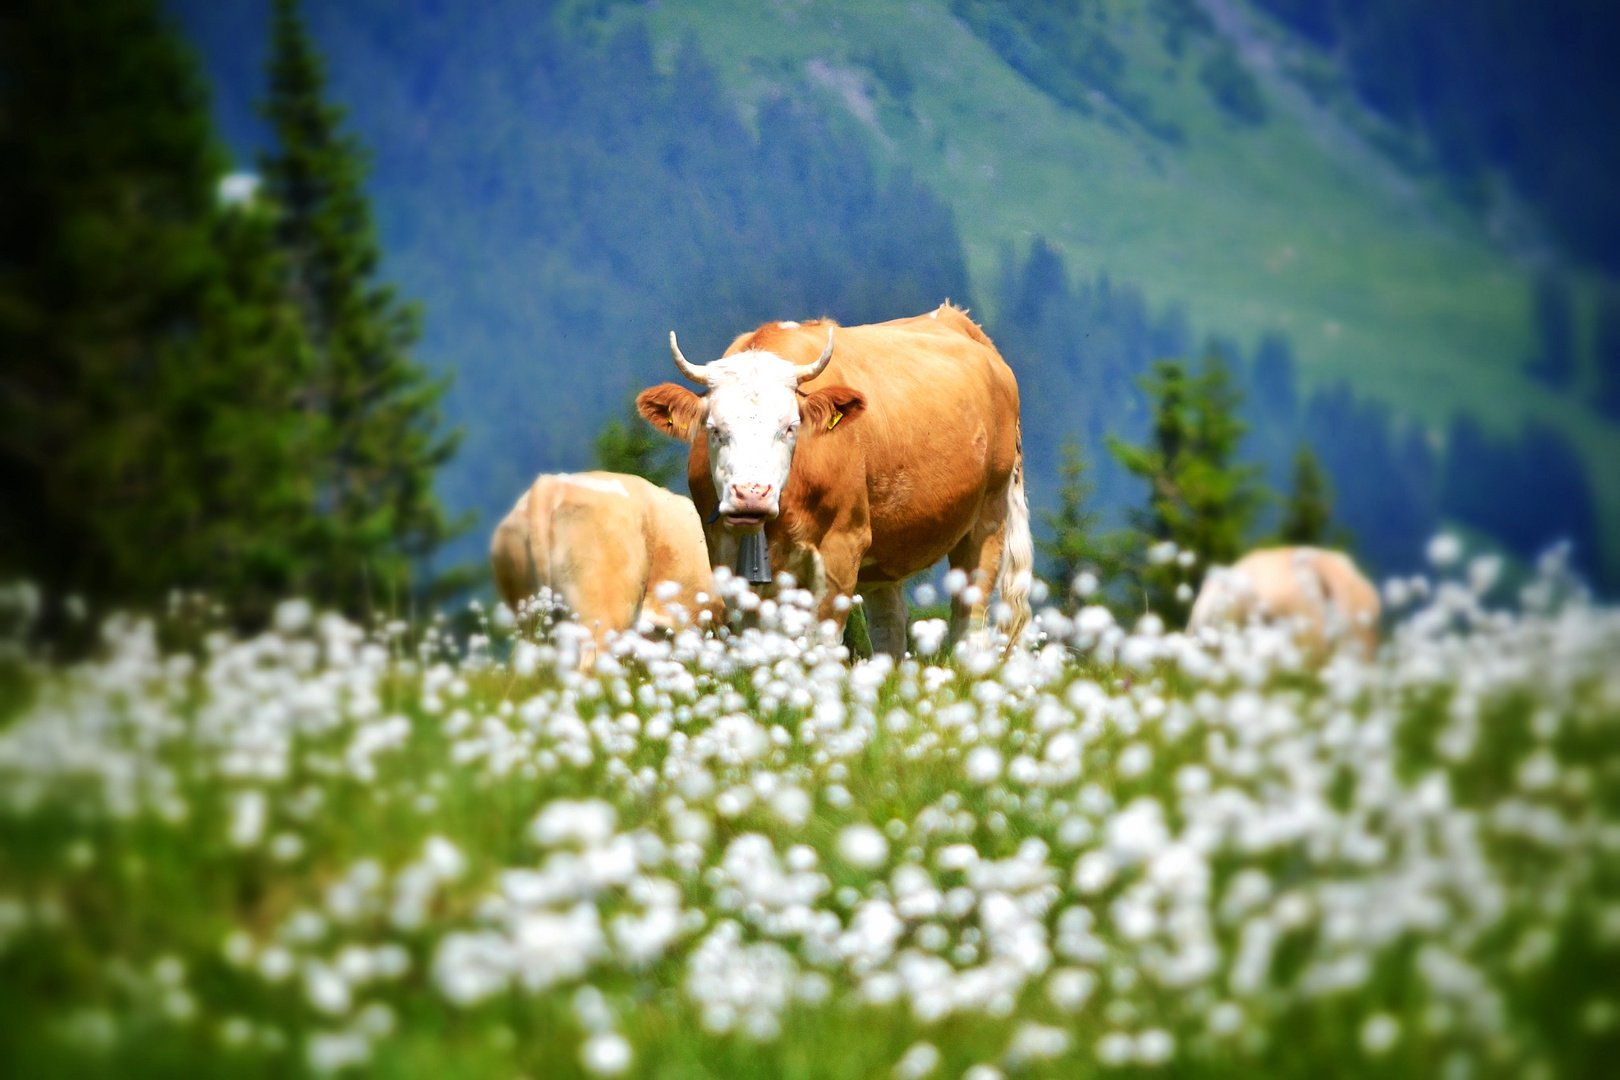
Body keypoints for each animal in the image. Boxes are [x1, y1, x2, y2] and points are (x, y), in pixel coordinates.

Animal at [635, 304, 1030, 660]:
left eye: (790, 427)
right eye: (715, 429)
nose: (751, 494)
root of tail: (959, 320)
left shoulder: (842, 545)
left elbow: (820, 641)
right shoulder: (722, 547)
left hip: (988, 520)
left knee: (971, 621)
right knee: (889, 626)